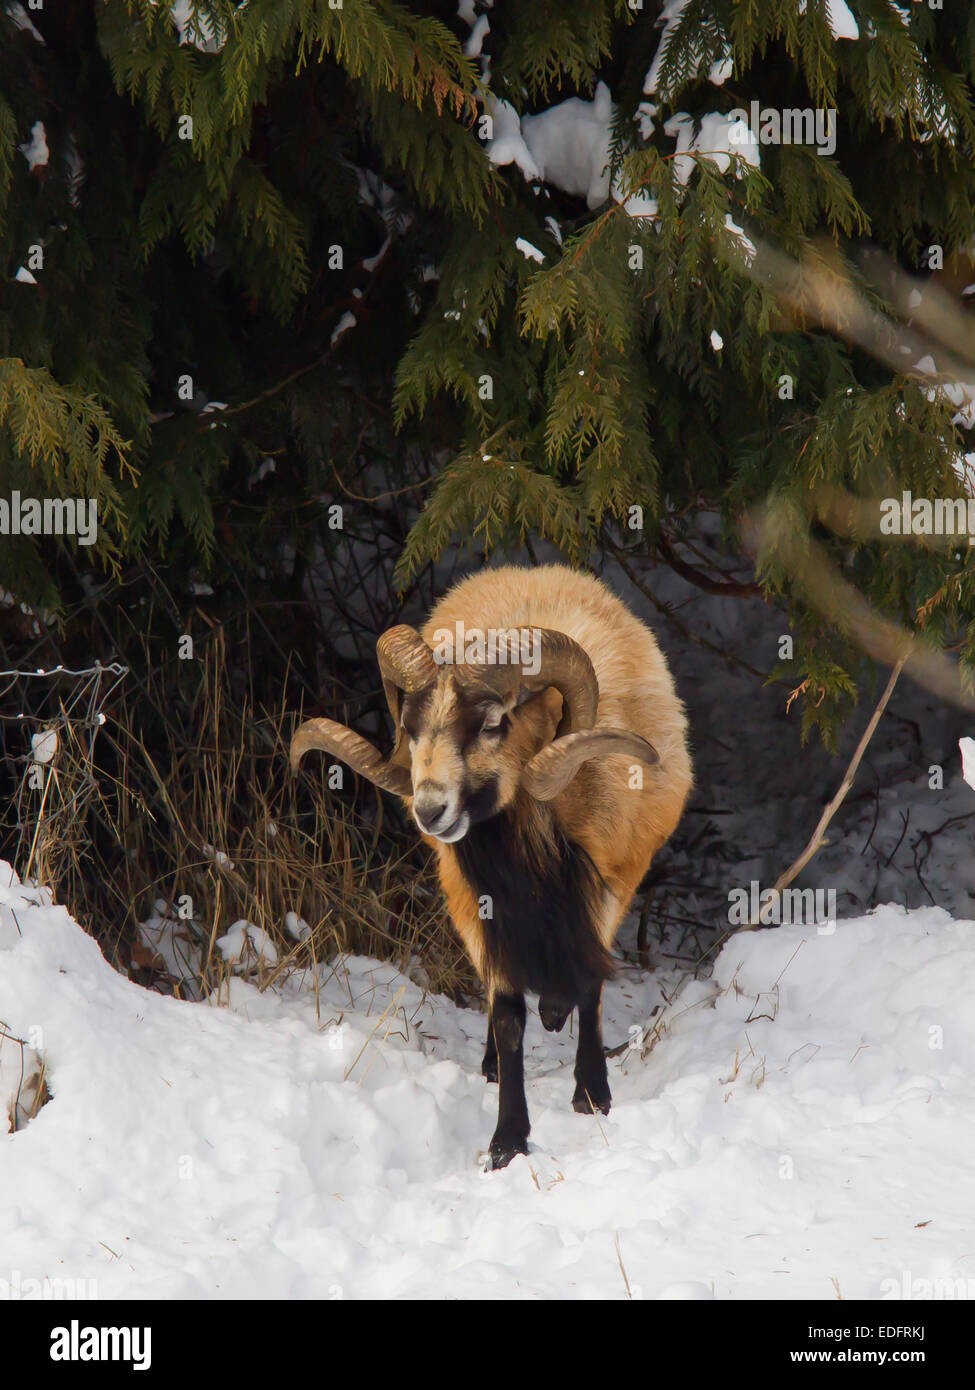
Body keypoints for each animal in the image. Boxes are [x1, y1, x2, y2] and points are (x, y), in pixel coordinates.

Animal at [291, 564, 693, 1168]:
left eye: (491, 724)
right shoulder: (474, 905)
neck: (528, 855)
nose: (430, 810)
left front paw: (592, 1095)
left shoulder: (606, 889)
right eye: (410, 727)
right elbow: (506, 1018)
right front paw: (507, 1141)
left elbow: (590, 986)